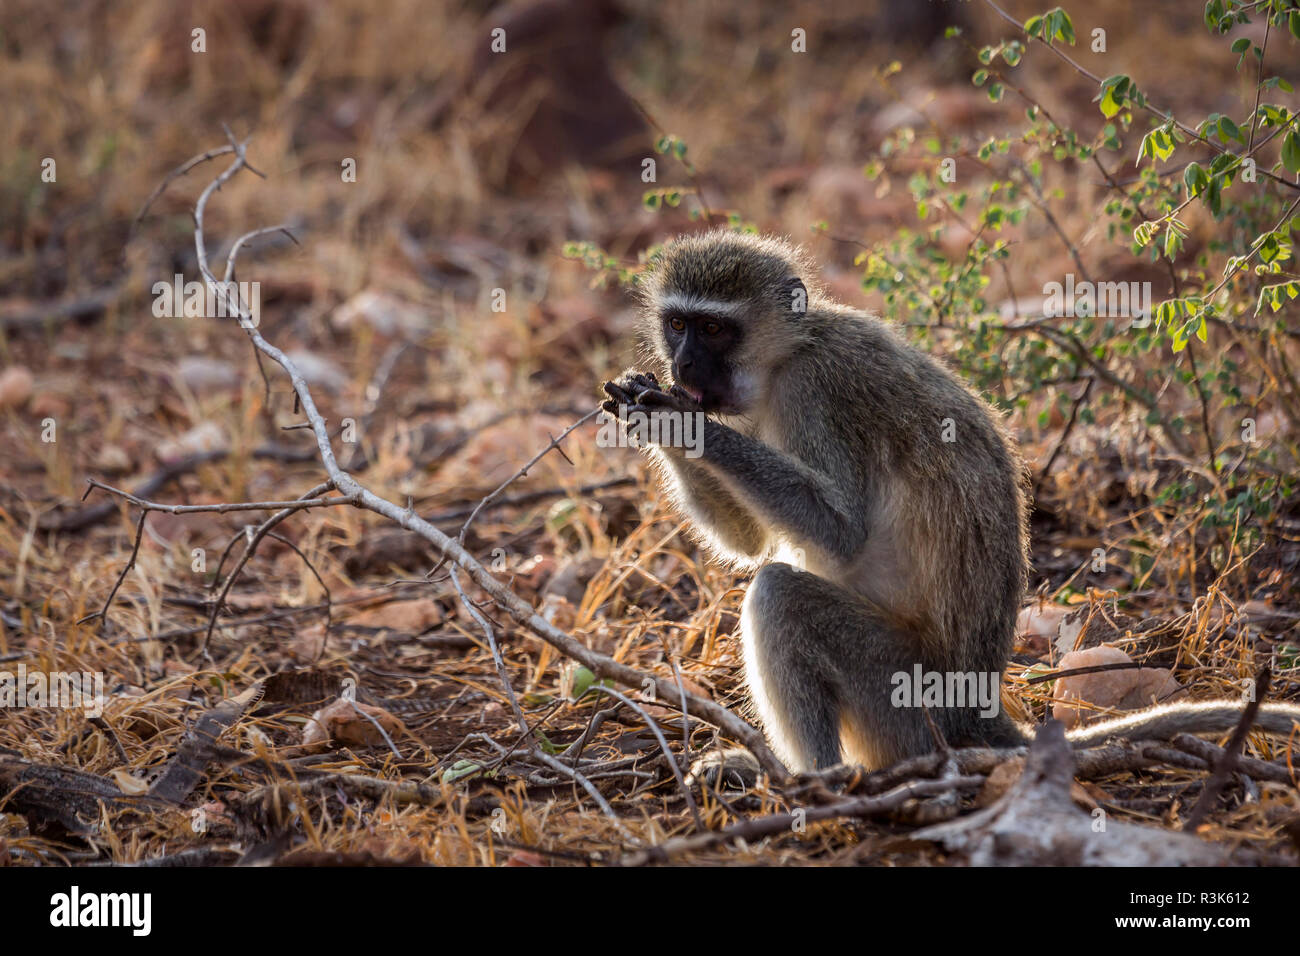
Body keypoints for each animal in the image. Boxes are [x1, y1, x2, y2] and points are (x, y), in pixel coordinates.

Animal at [599, 229, 1300, 778]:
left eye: (715, 329)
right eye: (678, 324)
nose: (683, 365)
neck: (787, 355)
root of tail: (974, 710)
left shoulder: (814, 390)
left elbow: (839, 533)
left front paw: (674, 417)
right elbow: (749, 543)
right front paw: (650, 410)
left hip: (904, 697)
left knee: (780, 596)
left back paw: (816, 782)